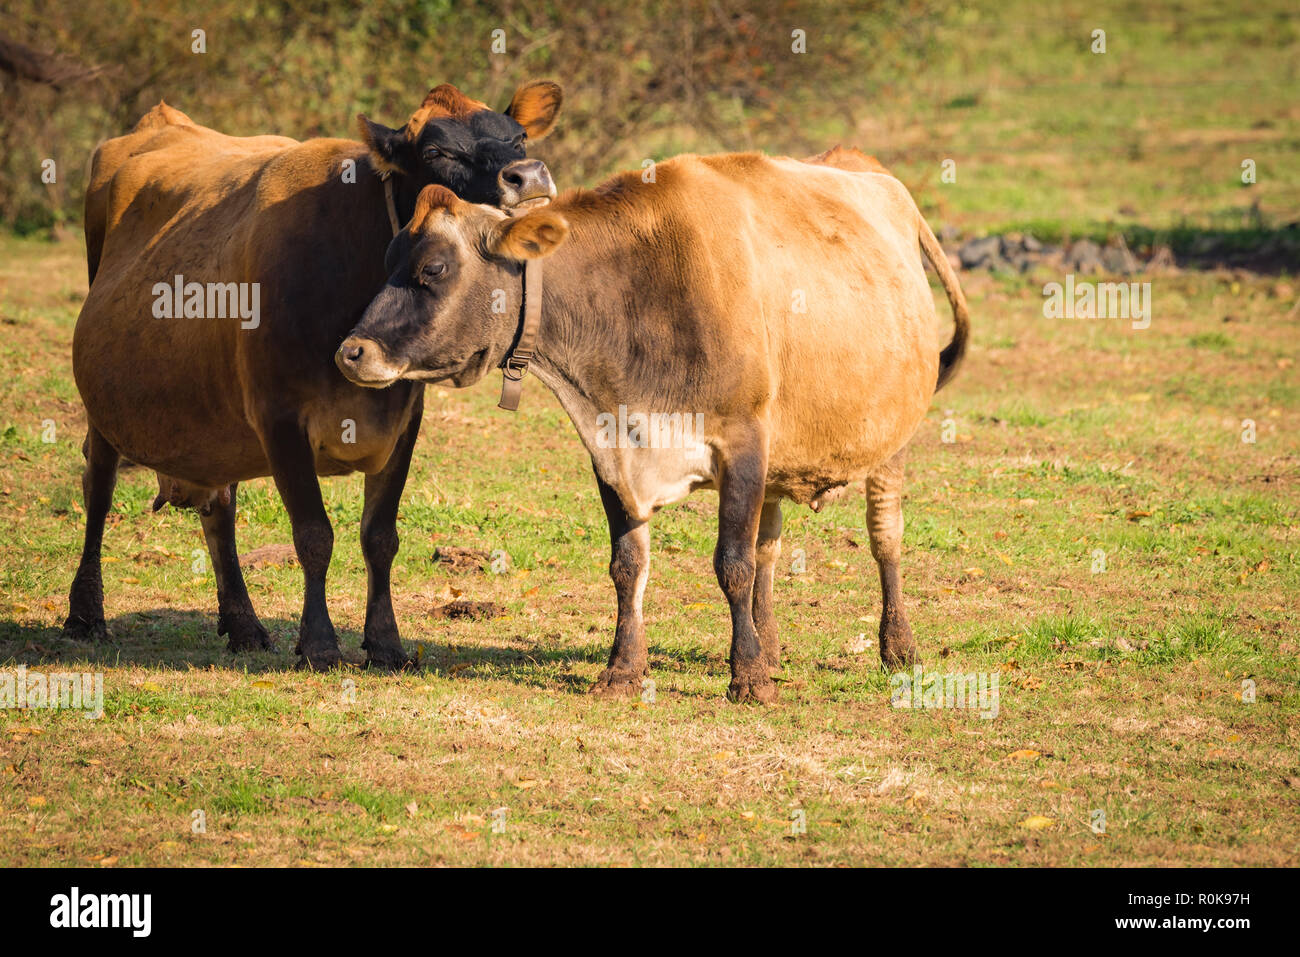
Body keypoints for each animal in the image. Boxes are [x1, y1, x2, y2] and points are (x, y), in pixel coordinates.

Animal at [67, 82, 564, 670]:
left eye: (520, 136)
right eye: (437, 150)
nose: (528, 175)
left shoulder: (403, 418)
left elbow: (380, 537)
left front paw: (386, 642)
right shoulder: (278, 416)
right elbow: (313, 535)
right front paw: (320, 643)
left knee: (219, 508)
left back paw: (243, 625)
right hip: (102, 405)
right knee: (98, 488)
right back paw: (86, 615)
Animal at [335, 149, 967, 702]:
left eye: (433, 269)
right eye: (388, 261)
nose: (351, 352)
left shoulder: (742, 441)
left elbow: (732, 564)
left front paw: (748, 680)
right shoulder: (612, 449)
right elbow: (629, 565)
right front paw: (624, 671)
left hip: (890, 442)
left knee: (885, 539)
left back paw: (896, 646)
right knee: (769, 547)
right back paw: (770, 647)